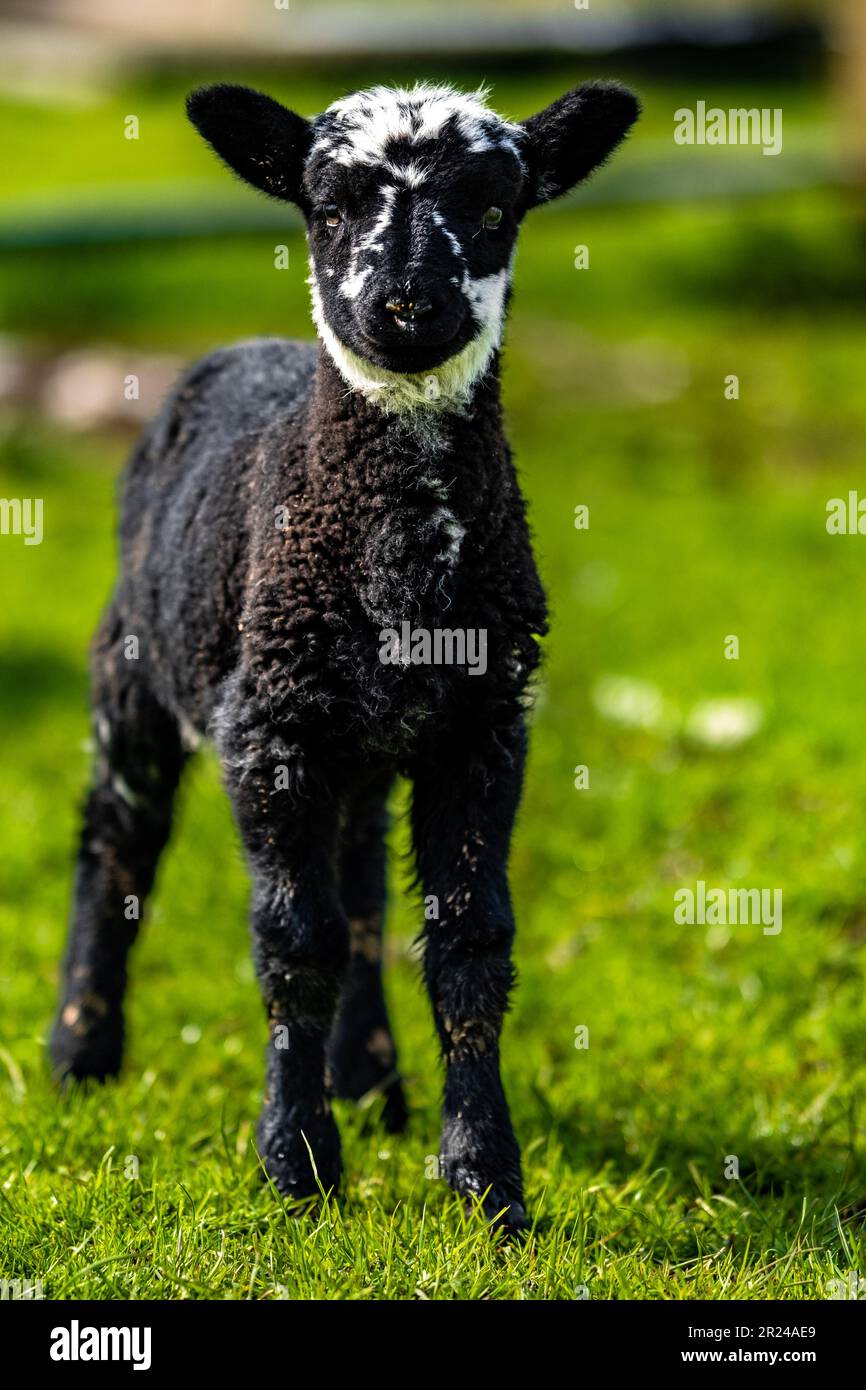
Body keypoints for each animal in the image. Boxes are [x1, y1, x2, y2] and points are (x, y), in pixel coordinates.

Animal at [50, 78, 639, 1234]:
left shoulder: (483, 727)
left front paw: (485, 1181)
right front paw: (296, 1166)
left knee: (361, 884)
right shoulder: (269, 726)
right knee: (115, 843)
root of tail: (244, 348)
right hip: (133, 667)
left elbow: (466, 944)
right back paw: (80, 1056)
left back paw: (372, 1081)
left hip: (361, 743)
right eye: (326, 209)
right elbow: (294, 942)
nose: (408, 306)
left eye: (495, 208)